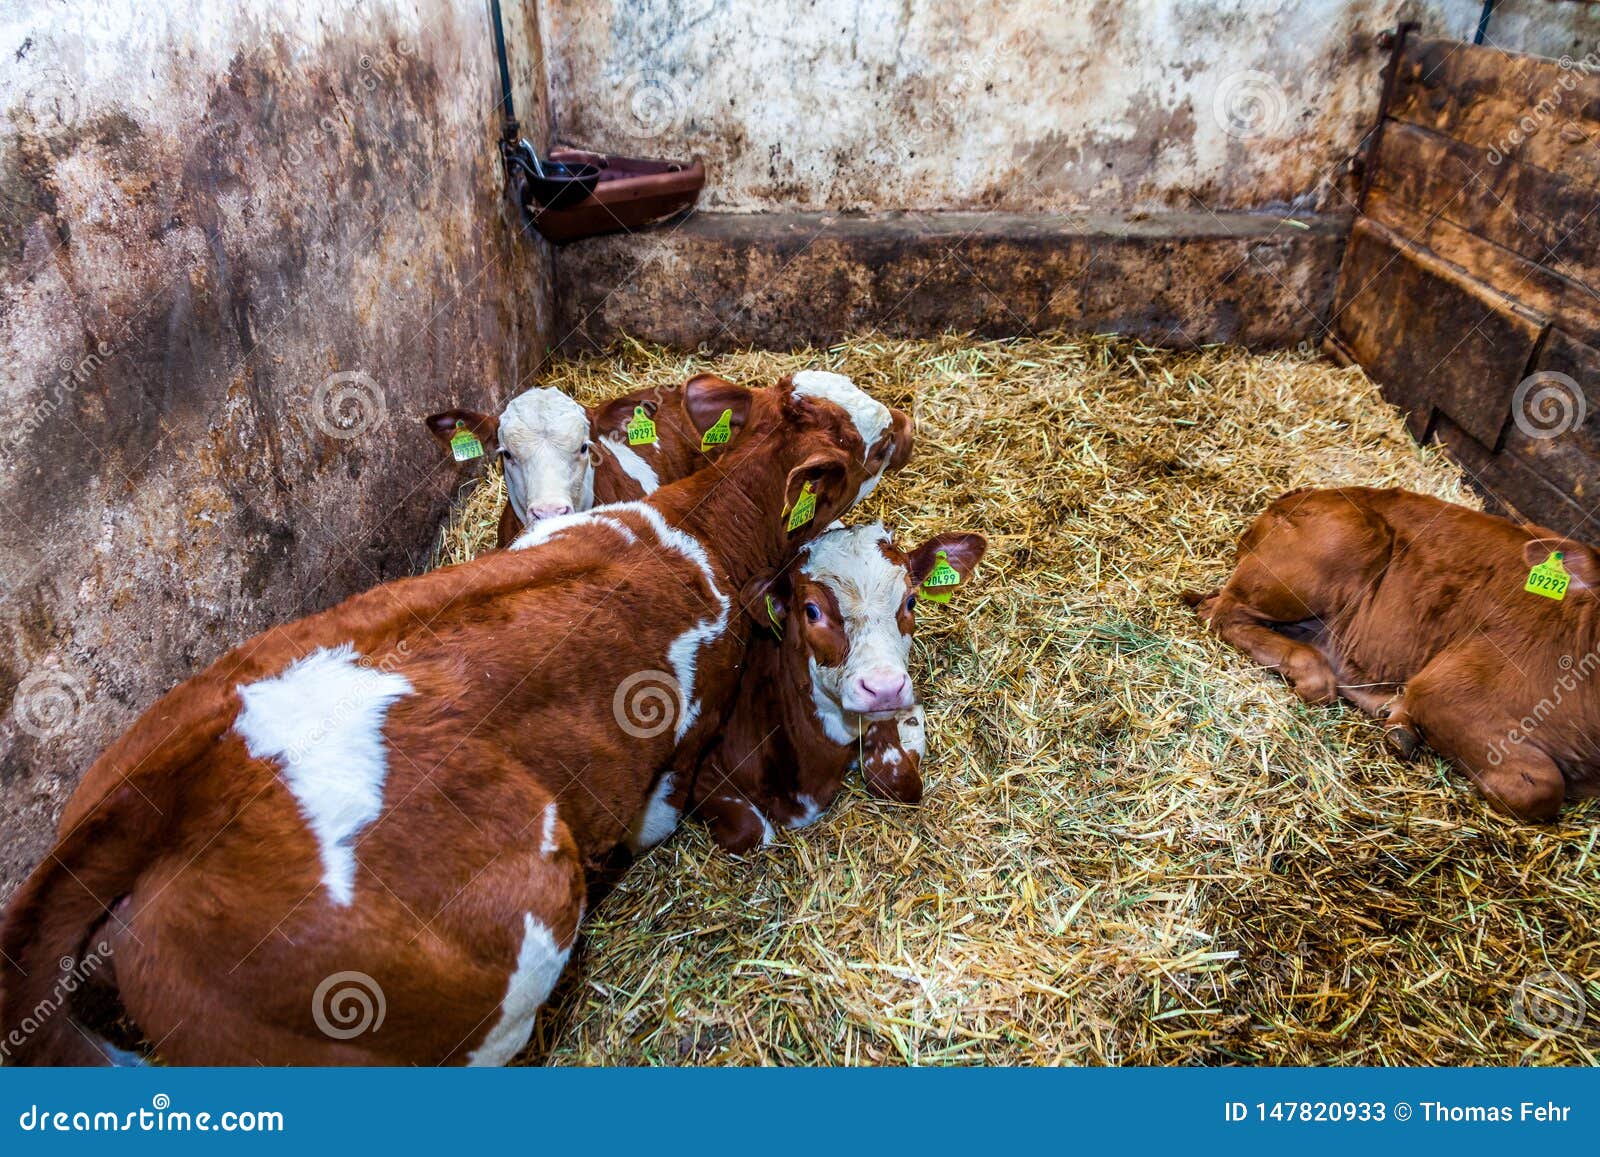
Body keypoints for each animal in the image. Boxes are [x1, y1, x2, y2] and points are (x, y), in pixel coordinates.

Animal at [688, 523, 986, 854]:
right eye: (811, 611)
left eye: (911, 601)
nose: (885, 688)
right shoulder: (701, 773)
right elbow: (752, 832)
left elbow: (899, 780)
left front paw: (911, 725)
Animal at [1189, 487, 1600, 822]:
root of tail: (1304, 493)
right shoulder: (1446, 690)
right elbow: (1541, 788)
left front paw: (1402, 722)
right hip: (1335, 548)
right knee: (1220, 610)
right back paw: (1316, 676)